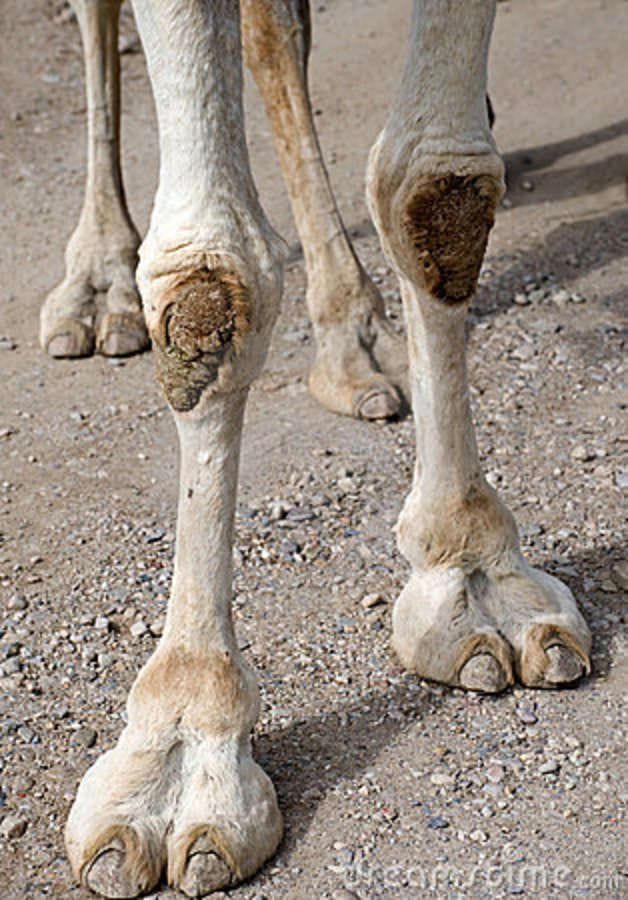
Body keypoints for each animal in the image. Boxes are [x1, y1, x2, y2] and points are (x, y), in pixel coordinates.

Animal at [41, 1, 592, 897]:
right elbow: (209, 276)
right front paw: (183, 752)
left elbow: (436, 187)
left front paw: (471, 572)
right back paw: (99, 282)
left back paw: (353, 344)